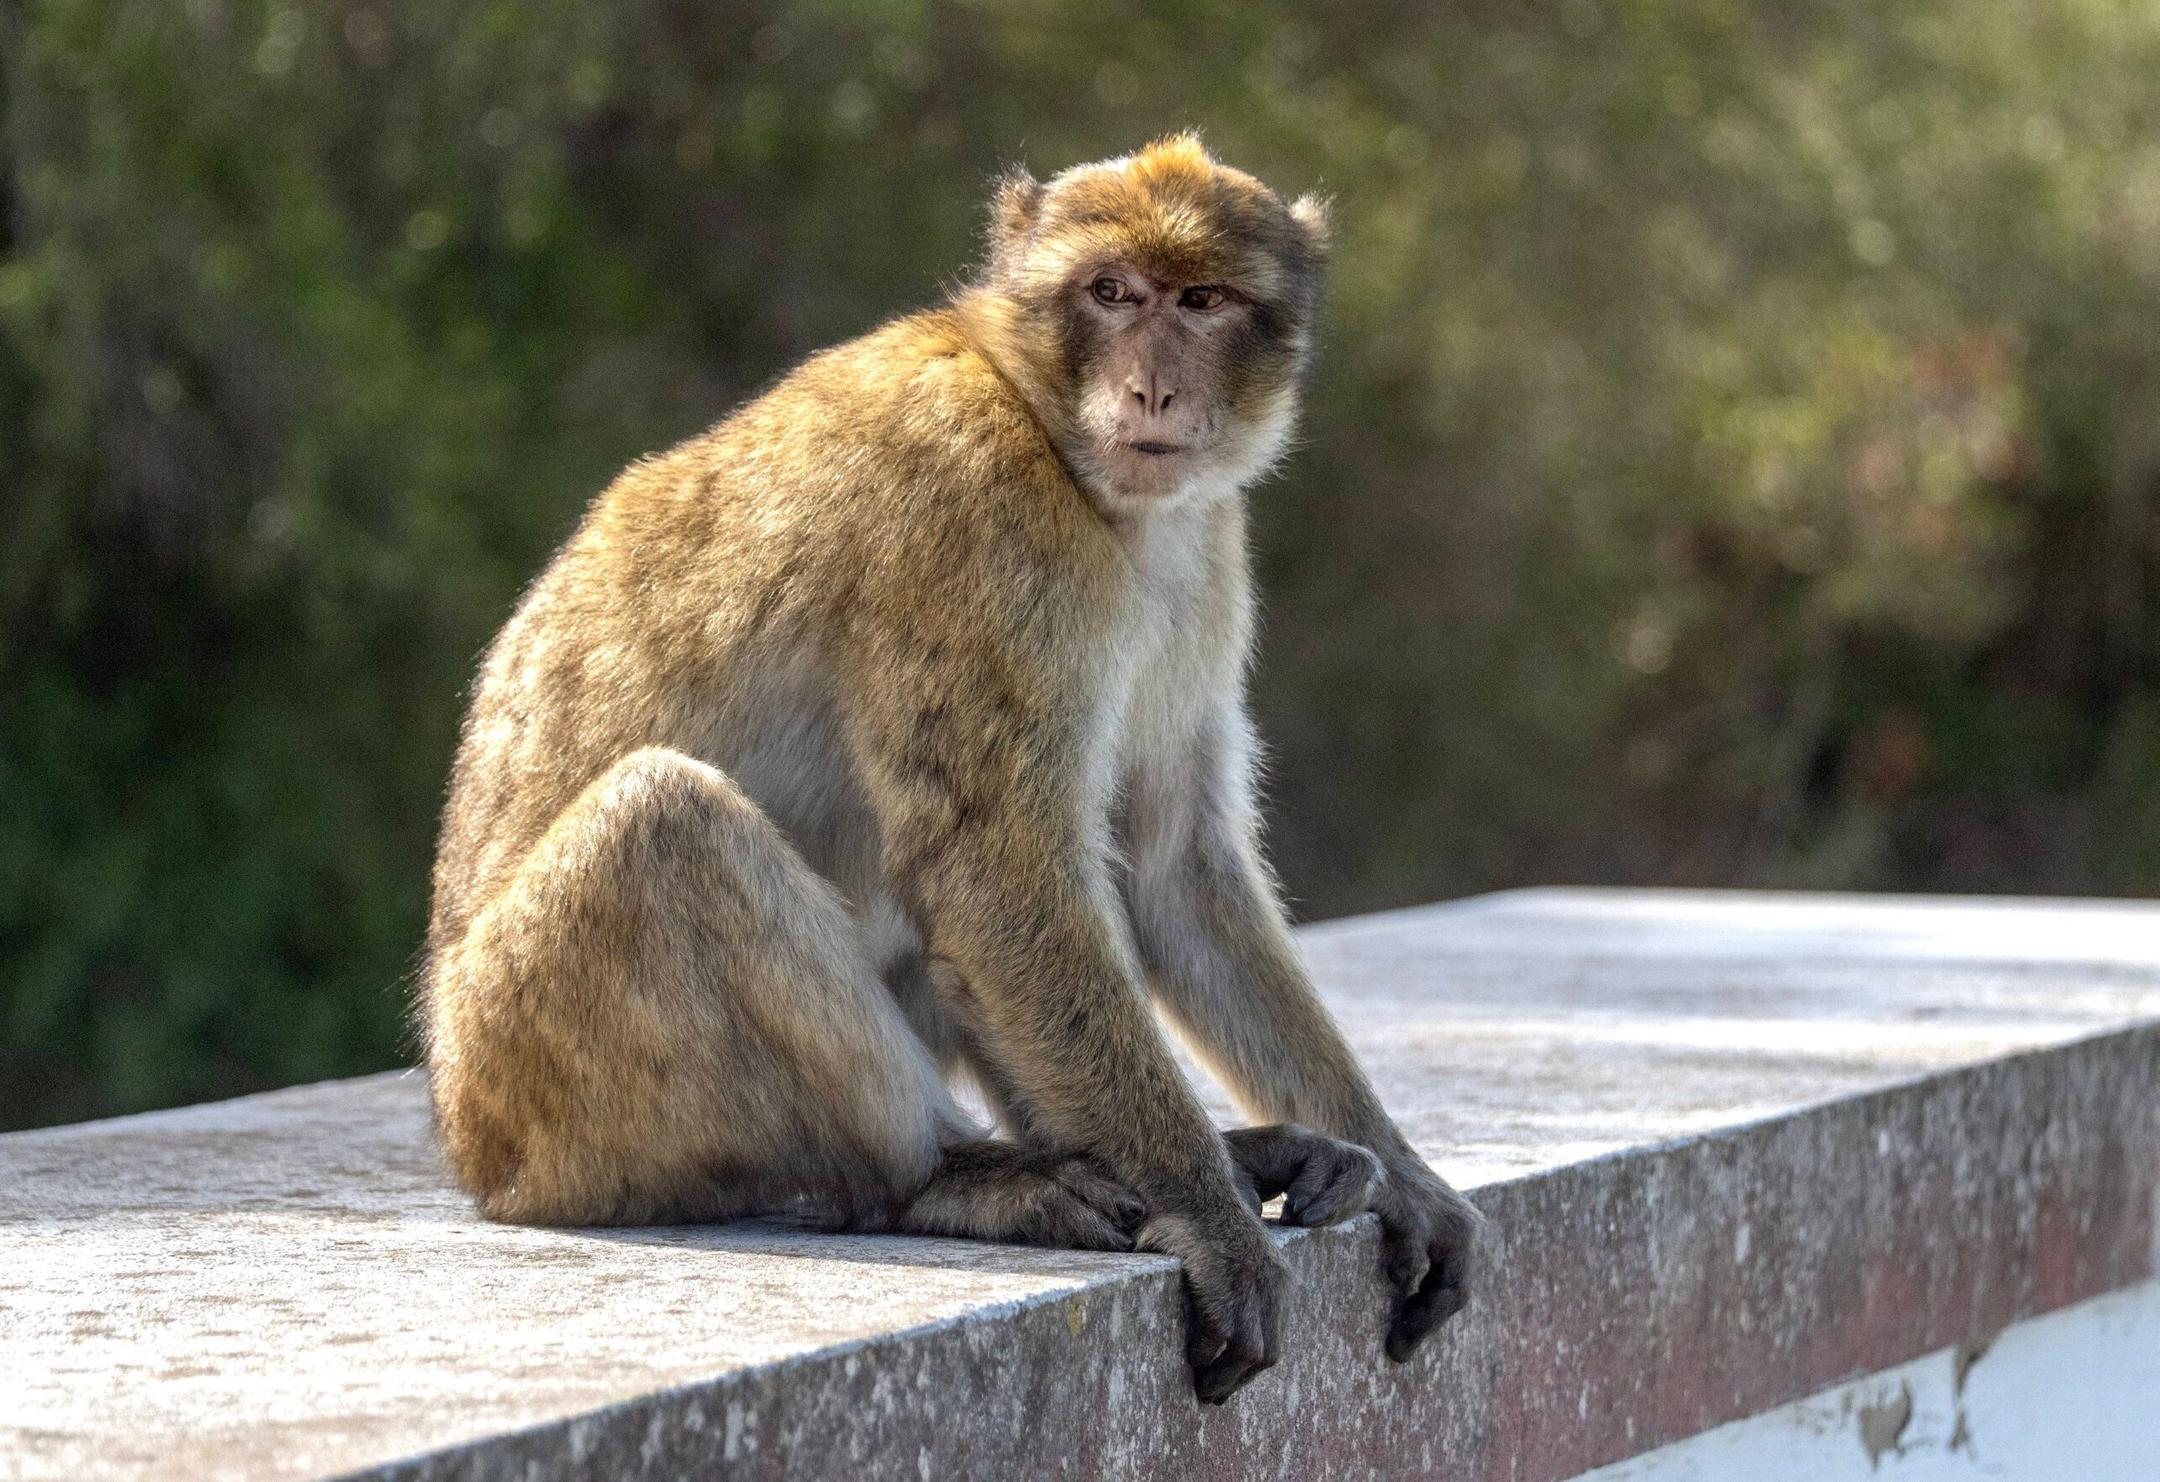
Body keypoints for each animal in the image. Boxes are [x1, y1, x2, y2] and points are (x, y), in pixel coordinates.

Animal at [418, 133, 1480, 1406]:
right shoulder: (975, 517)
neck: (1051, 432)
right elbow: (995, 868)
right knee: (667, 826)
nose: (1155, 390)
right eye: (1111, 292)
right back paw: (939, 1178)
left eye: (1202, 301)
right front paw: (1212, 1223)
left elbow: (1174, 867)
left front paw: (1403, 1176)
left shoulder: (1206, 547)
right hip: (542, 1084)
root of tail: (470, 1146)